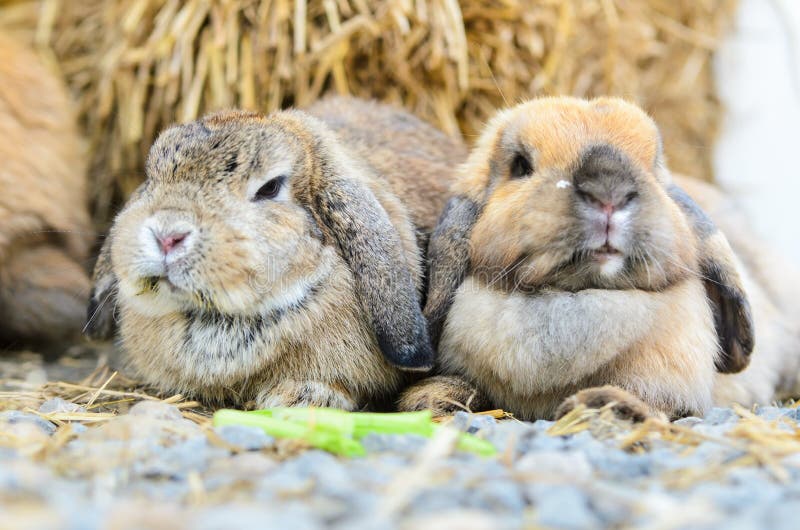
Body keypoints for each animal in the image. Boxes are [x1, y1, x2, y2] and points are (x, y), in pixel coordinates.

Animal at [397, 96, 789, 421]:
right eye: (521, 165)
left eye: (652, 164)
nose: (609, 191)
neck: (575, 294)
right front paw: (429, 400)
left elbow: (659, 402)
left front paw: (608, 405)